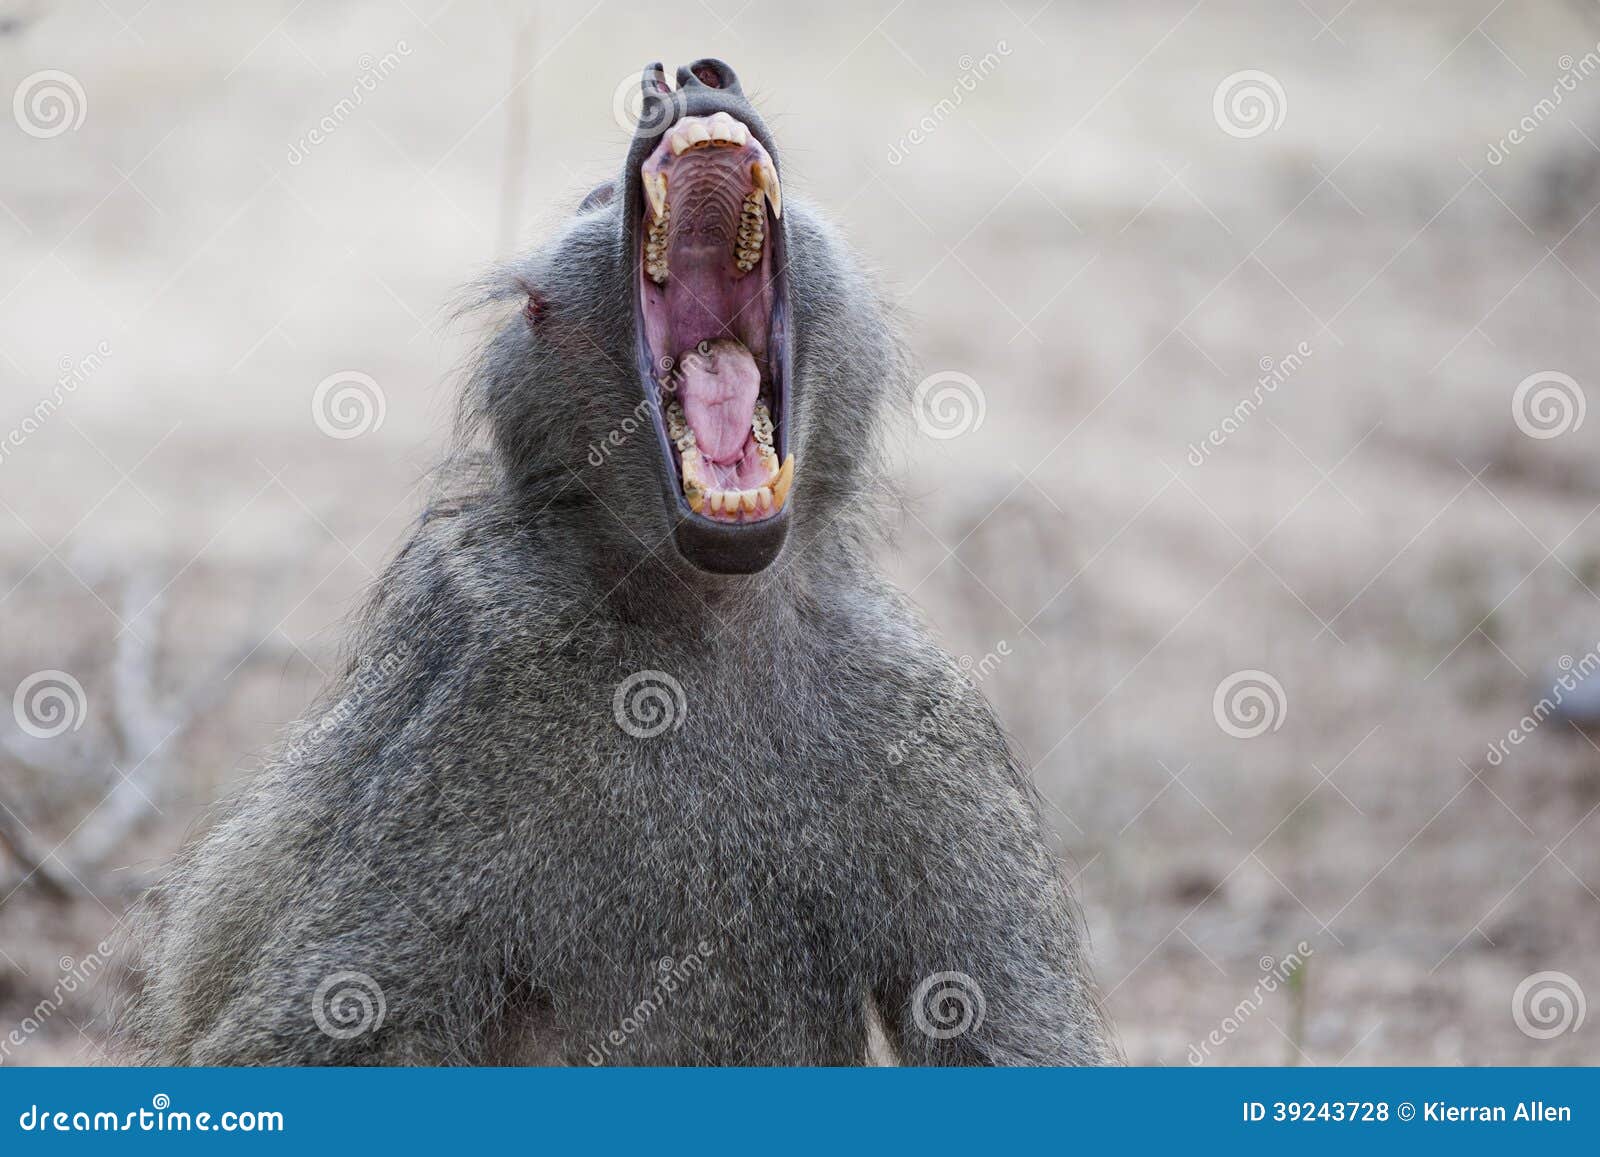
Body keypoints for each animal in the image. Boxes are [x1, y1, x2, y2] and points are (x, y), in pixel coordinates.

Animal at [116, 58, 1115, 1066]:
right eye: (597, 200)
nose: (695, 72)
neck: (705, 609)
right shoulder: (484, 678)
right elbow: (325, 1027)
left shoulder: (919, 709)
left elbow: (1007, 1034)